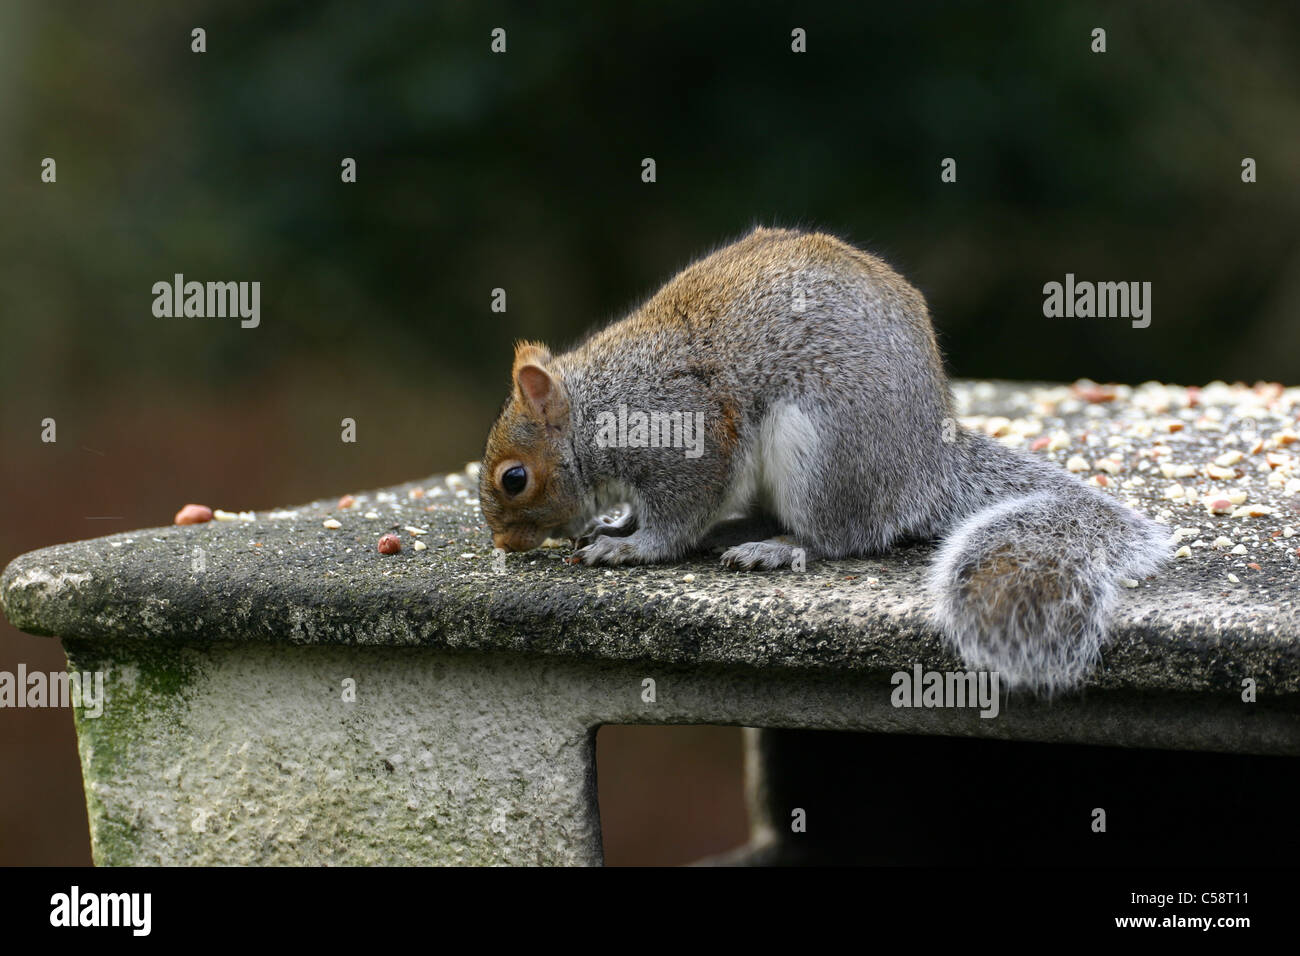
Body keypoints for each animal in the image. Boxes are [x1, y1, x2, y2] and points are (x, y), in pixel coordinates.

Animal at [479, 227, 1171, 693]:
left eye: (515, 478)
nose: (505, 545)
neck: (598, 407)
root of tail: (925, 463)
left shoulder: (687, 431)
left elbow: (675, 520)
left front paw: (629, 547)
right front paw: (616, 523)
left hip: (819, 455)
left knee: (838, 537)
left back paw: (776, 548)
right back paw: (742, 532)